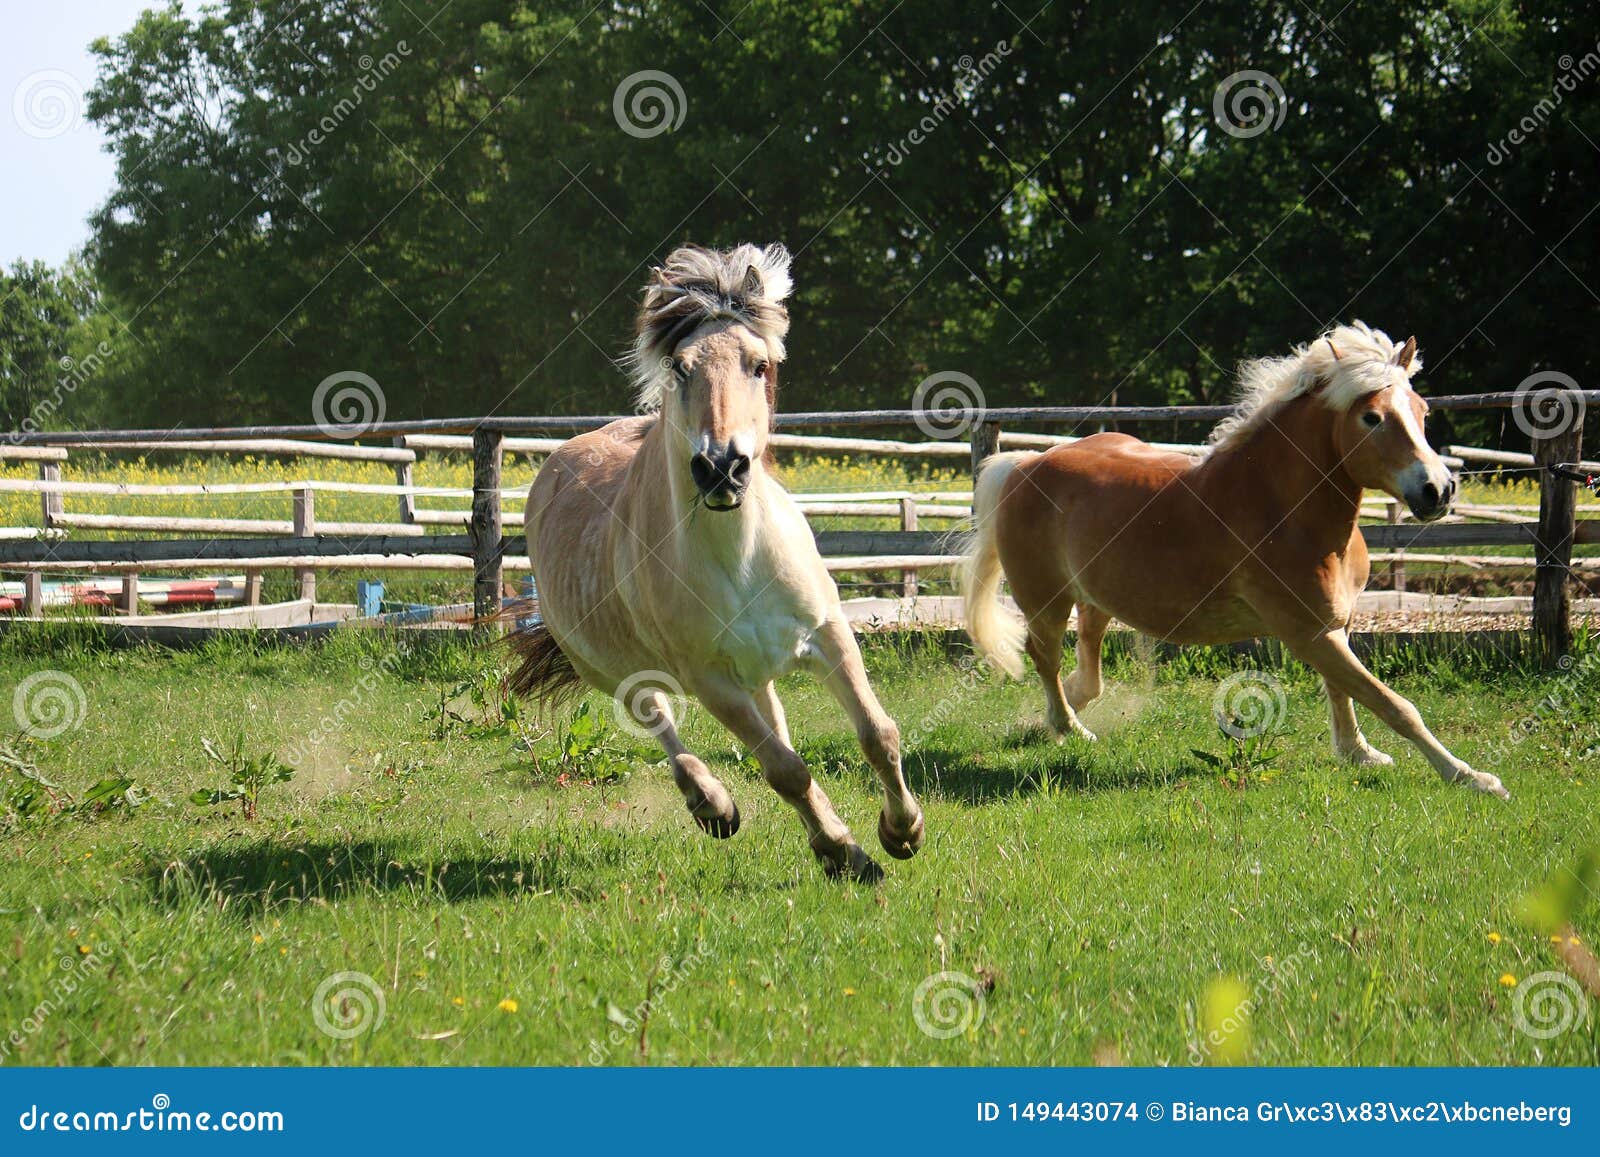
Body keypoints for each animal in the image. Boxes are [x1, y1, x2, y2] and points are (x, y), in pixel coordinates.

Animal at [509, 242, 924, 881]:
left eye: (758, 364)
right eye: (681, 367)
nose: (721, 467)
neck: (739, 557)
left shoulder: (829, 635)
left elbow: (878, 734)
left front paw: (900, 832)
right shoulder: (713, 684)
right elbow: (785, 770)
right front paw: (846, 848)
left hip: (759, 670)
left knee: (776, 727)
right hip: (611, 672)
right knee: (663, 726)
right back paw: (714, 806)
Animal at [960, 322, 1510, 800]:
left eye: (1422, 411)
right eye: (1371, 417)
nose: (1438, 490)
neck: (1281, 507)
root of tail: (1025, 464)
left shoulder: (1337, 624)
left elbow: (1344, 692)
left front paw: (1360, 754)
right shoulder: (1307, 633)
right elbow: (1393, 703)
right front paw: (1473, 778)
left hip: (1095, 598)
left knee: (1085, 664)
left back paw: (1055, 717)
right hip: (1045, 601)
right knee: (1045, 658)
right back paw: (1067, 729)